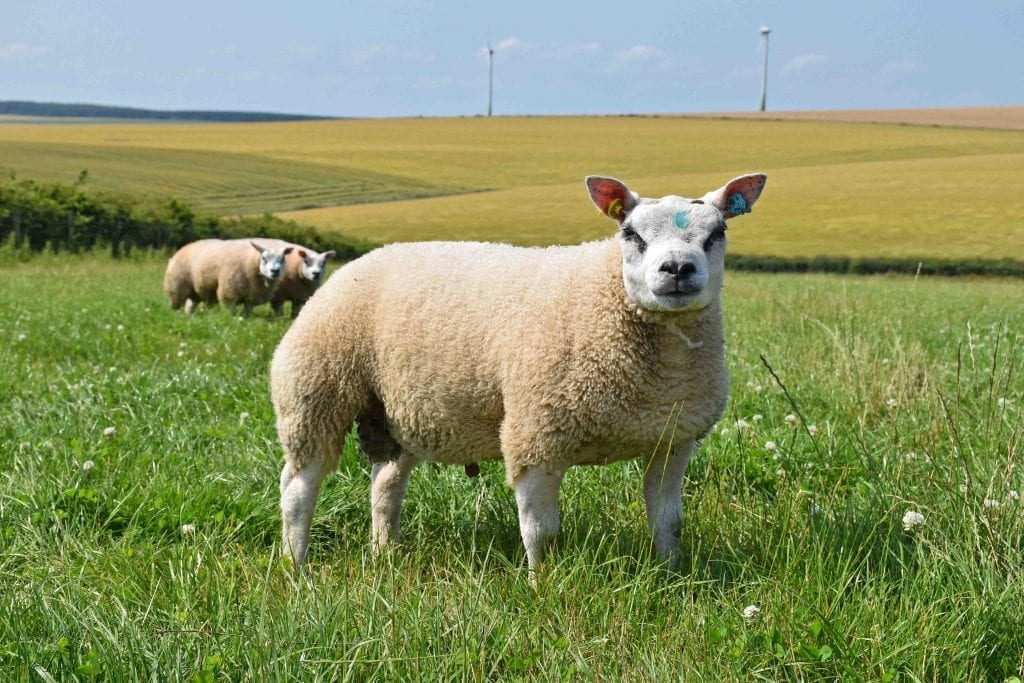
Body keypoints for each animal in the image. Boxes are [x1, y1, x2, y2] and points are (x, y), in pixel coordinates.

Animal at [163, 239, 293, 317]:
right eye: (264, 258)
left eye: (282, 259)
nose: (275, 271)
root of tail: (184, 247)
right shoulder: (229, 291)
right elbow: (231, 310)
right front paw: (232, 319)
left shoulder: (251, 296)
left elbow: (248, 310)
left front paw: (247, 318)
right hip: (177, 287)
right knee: (177, 305)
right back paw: (178, 315)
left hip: (194, 292)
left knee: (190, 305)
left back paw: (190, 316)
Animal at [271, 172, 767, 570]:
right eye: (629, 233)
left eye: (718, 231)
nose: (678, 268)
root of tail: (359, 262)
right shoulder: (536, 434)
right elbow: (540, 531)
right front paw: (541, 586)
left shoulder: (672, 440)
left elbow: (669, 523)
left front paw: (670, 574)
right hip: (314, 391)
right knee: (298, 487)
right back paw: (297, 563)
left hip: (399, 413)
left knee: (386, 485)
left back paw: (383, 553)